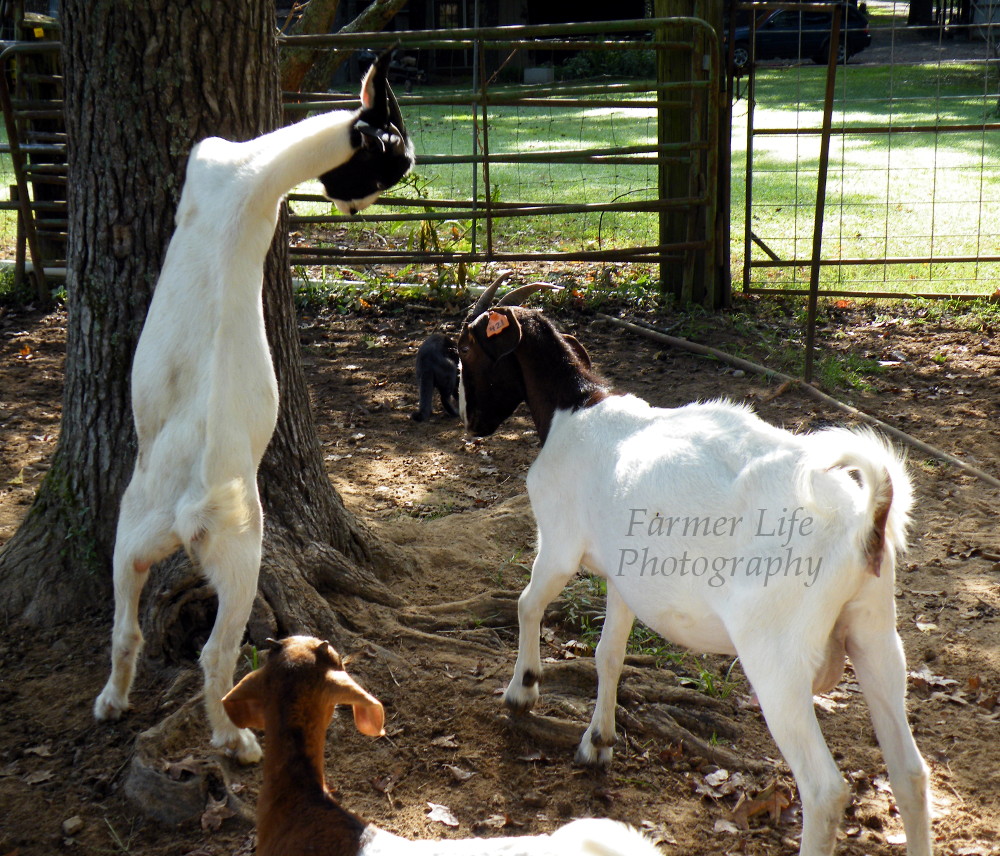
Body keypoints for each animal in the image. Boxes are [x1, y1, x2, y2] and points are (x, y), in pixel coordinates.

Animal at [93, 52, 414, 763]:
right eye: (392, 161)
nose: (357, 207)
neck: (253, 175)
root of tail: (194, 502)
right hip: (188, 544)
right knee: (179, 645)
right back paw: (191, 726)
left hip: (166, 543)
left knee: (165, 640)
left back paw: (189, 725)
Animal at [456, 306, 933, 856]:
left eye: (465, 347)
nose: (470, 422)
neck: (574, 410)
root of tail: (863, 520)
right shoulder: (626, 578)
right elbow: (608, 654)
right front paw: (598, 742)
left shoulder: (558, 544)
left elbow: (526, 603)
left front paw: (523, 690)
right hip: (875, 632)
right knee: (911, 773)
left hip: (777, 659)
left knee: (825, 790)